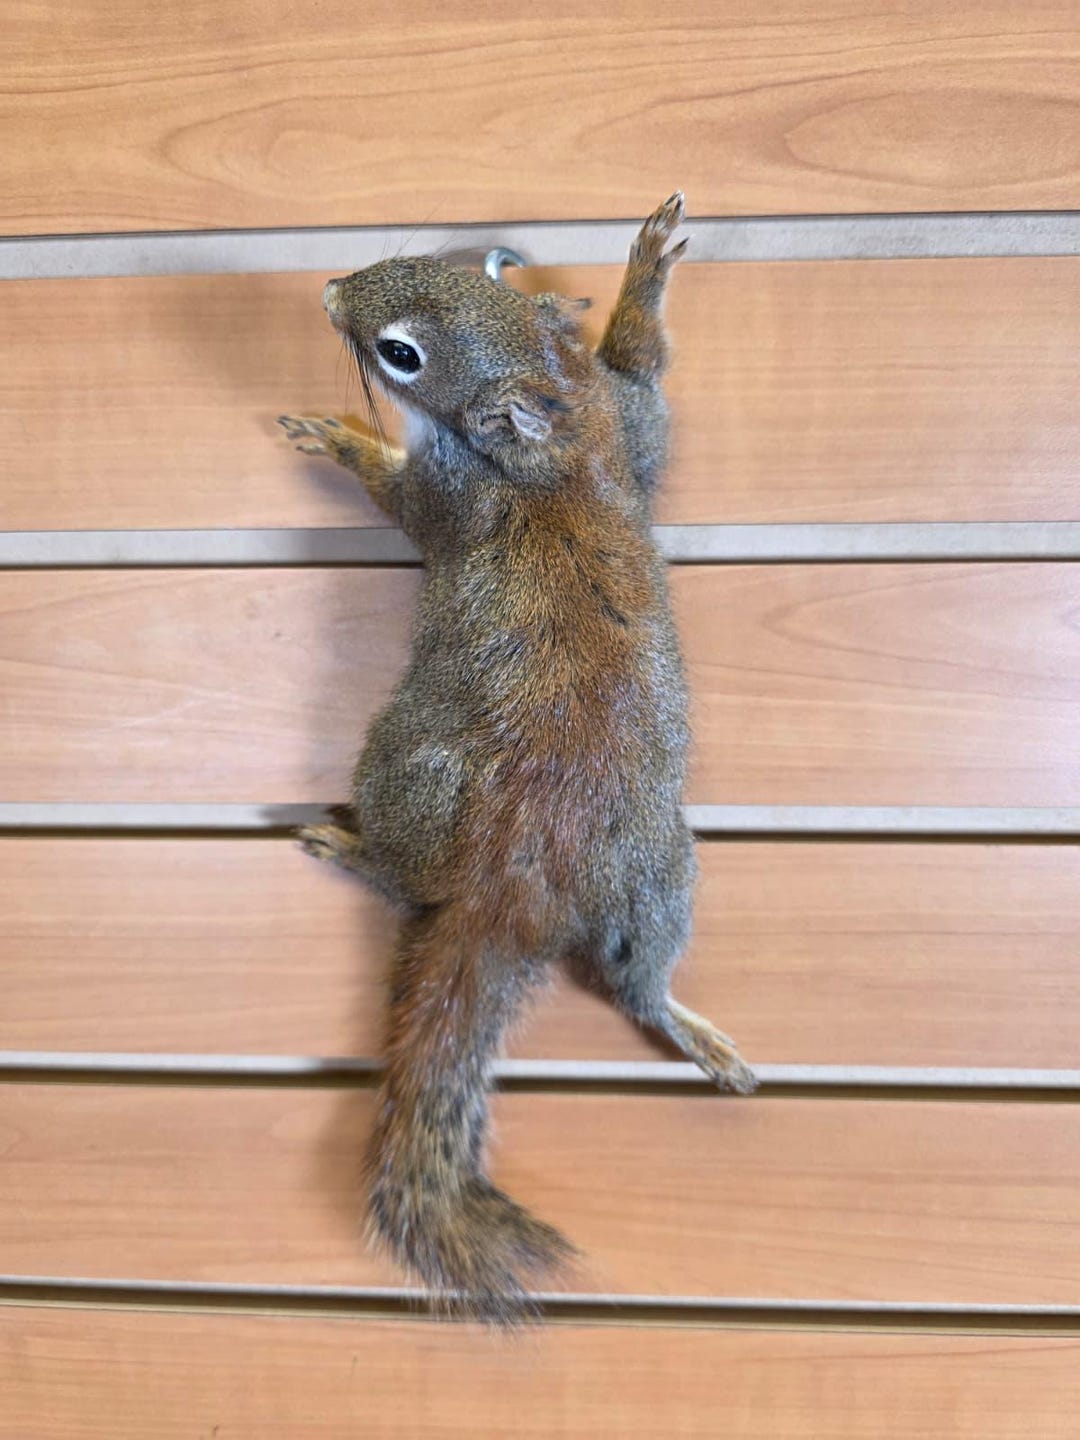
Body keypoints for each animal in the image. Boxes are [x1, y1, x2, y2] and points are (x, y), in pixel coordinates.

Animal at [278, 193, 756, 1324]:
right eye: (437, 261)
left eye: (401, 355)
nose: (329, 290)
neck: (561, 432)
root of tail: (516, 878)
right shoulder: (629, 424)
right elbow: (647, 374)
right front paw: (639, 277)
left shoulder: (457, 494)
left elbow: (398, 495)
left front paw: (341, 435)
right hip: (659, 875)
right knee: (631, 980)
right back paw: (687, 1026)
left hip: (407, 770)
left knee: (408, 877)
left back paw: (356, 850)